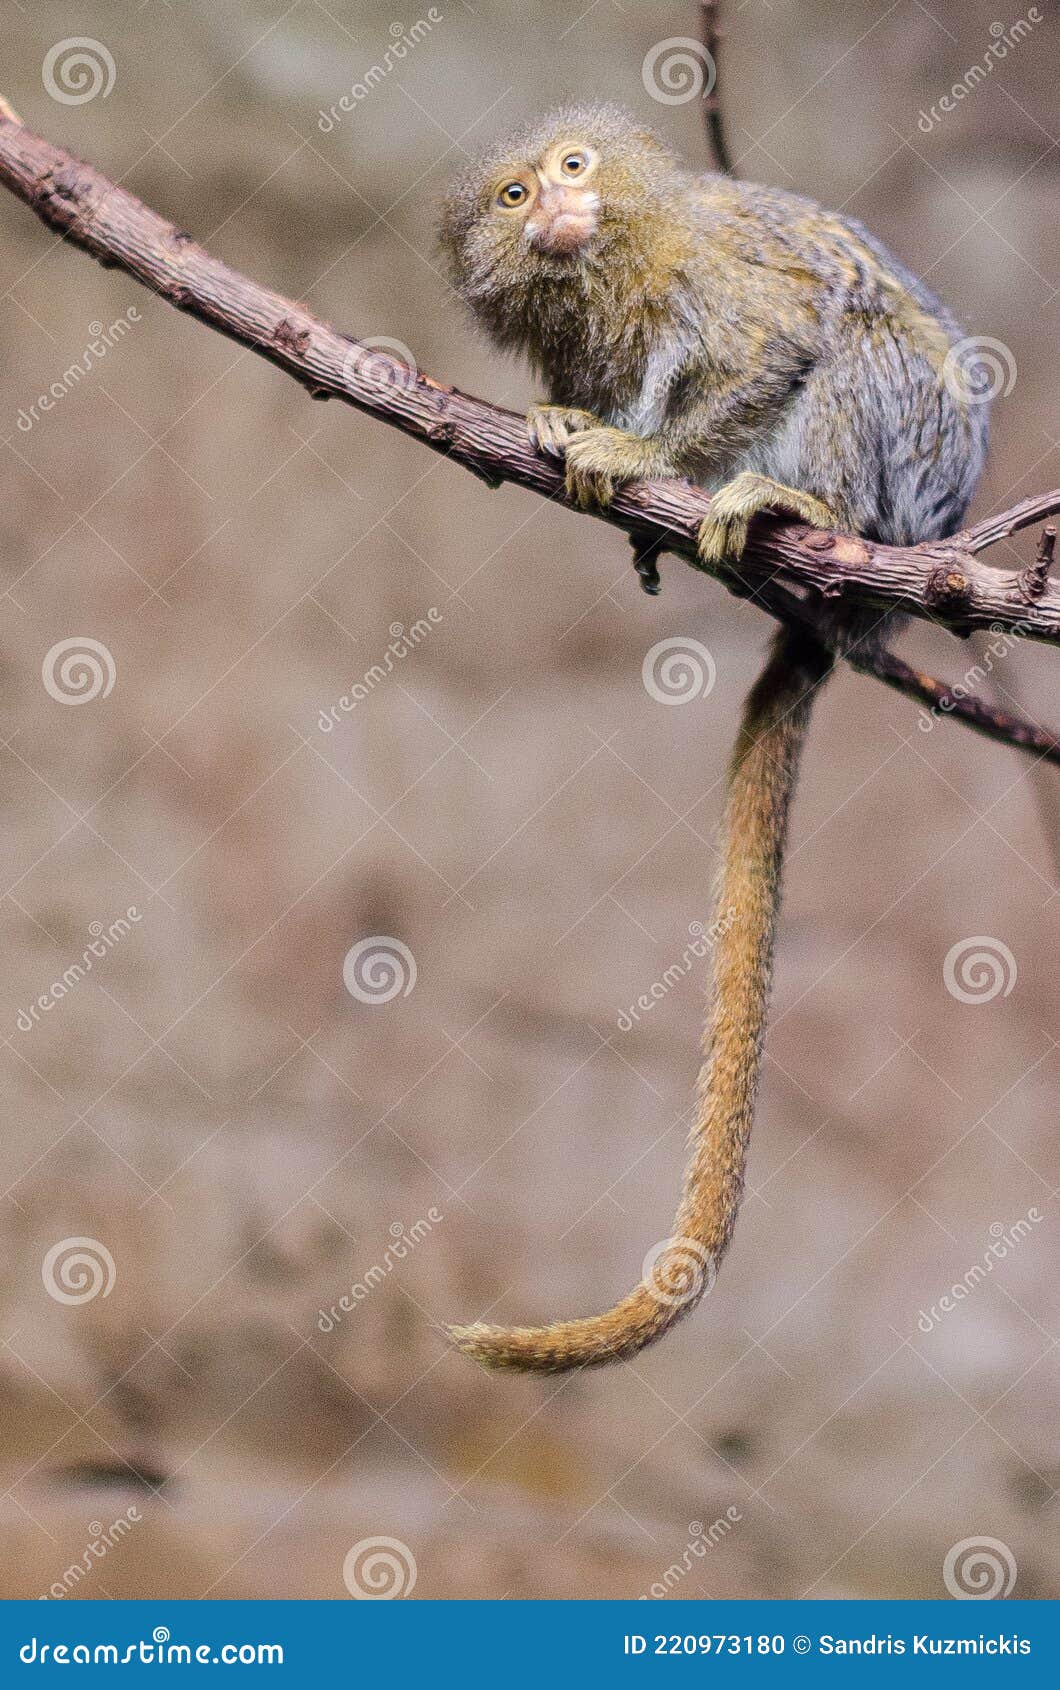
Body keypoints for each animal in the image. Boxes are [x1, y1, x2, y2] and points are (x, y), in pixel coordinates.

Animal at [436, 105, 988, 1373]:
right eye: (511, 194)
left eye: (575, 167)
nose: (556, 202)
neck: (608, 265)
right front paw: (573, 425)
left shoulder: (717, 278)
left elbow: (772, 345)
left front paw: (640, 459)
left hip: (911, 471)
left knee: (852, 349)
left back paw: (807, 511)